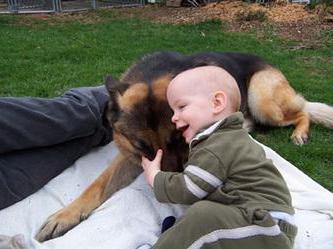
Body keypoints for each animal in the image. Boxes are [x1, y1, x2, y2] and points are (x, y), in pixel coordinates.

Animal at [35, 50, 332, 241]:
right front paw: (65, 215)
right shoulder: (130, 156)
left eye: (181, 137)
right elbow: (98, 184)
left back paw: (300, 133)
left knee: (303, 110)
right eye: (144, 148)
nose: (171, 188)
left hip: (262, 100)